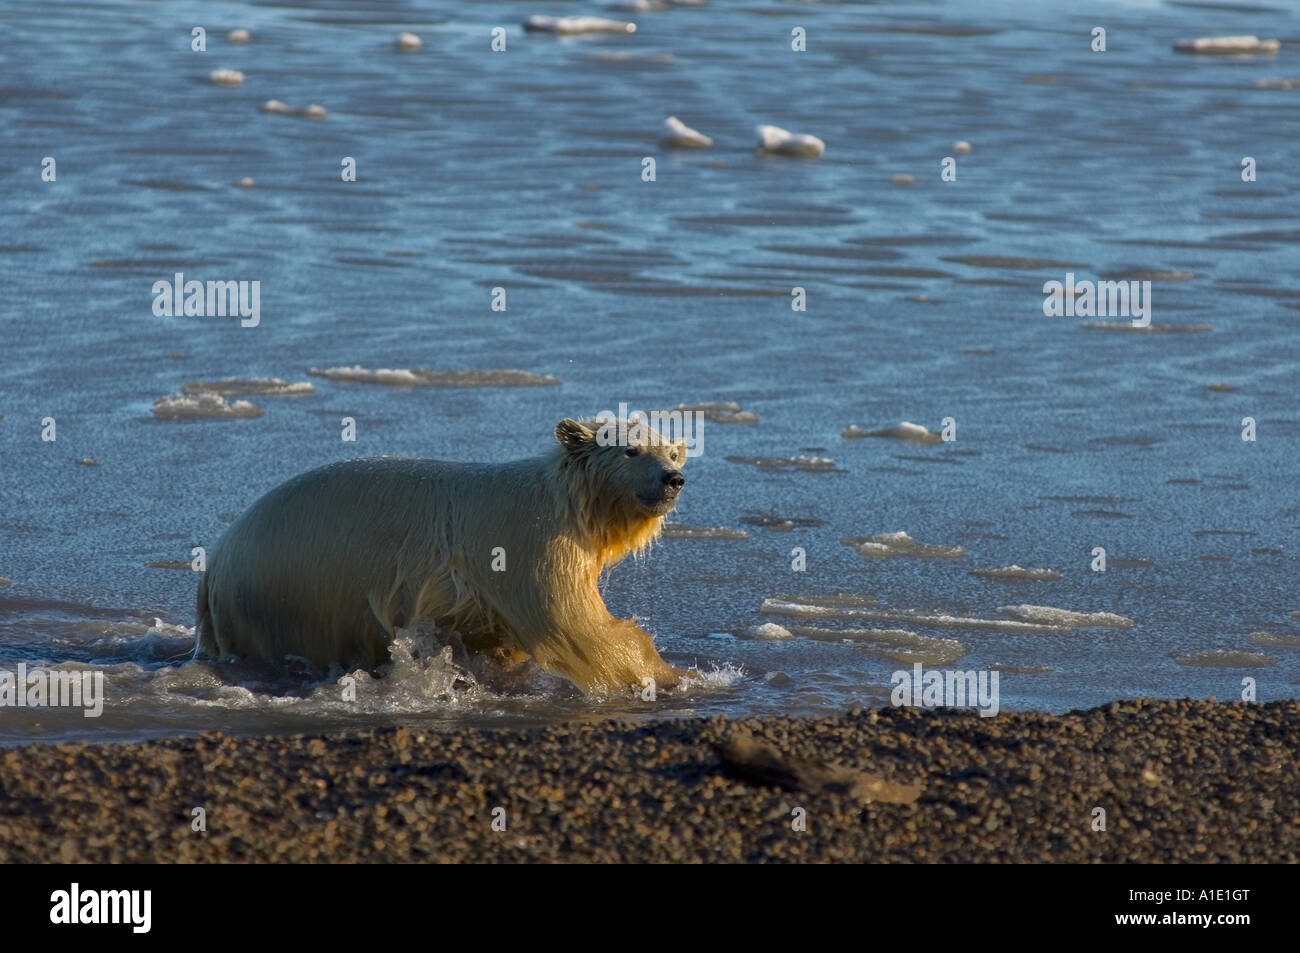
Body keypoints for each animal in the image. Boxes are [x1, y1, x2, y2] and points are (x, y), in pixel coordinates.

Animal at [194, 418, 687, 694]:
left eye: (670, 450)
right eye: (631, 450)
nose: (673, 478)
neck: (569, 501)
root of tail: (214, 561)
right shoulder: (532, 544)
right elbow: (573, 624)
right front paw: (667, 674)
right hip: (288, 591)